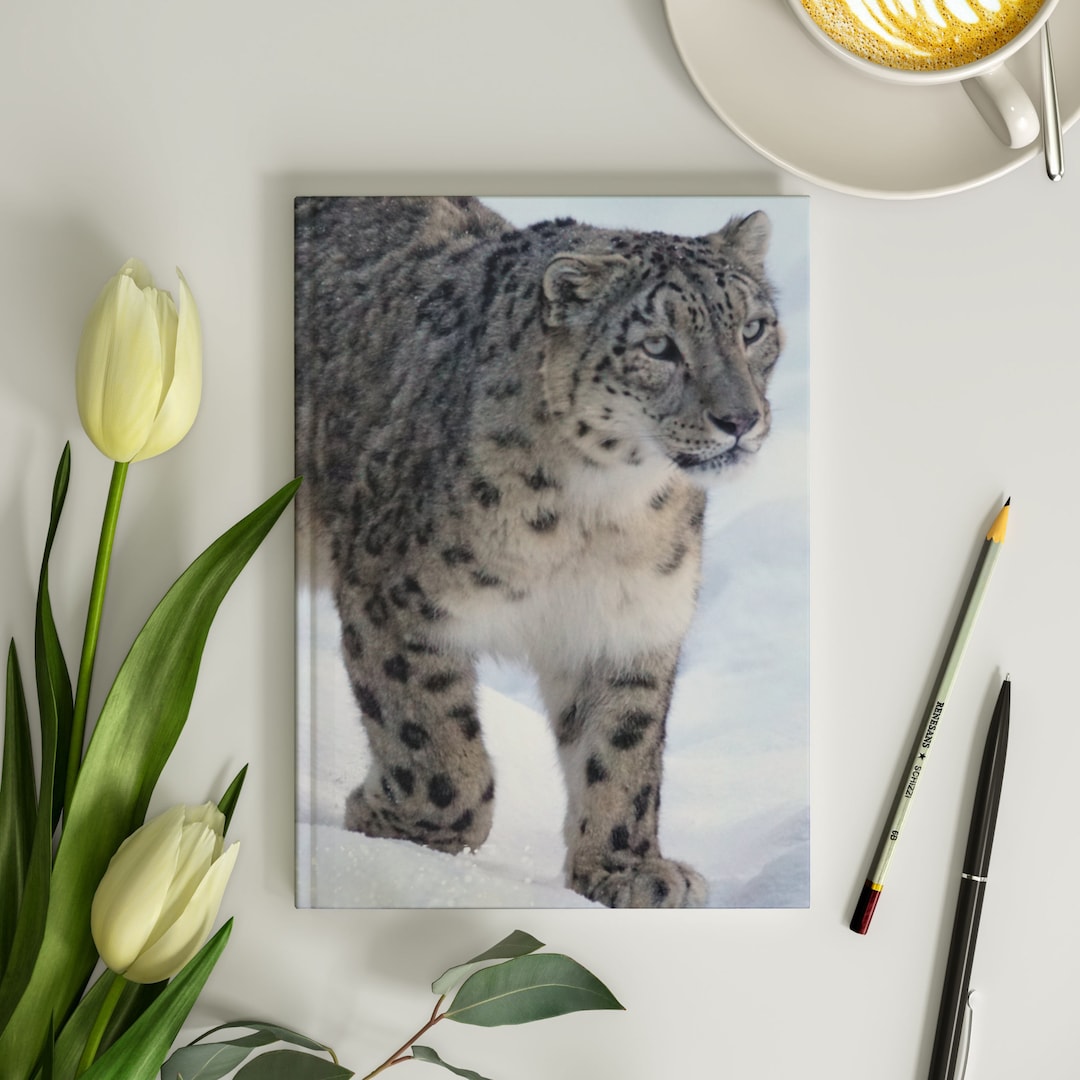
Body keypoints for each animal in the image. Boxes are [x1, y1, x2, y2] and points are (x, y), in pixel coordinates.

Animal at [294, 196, 785, 908]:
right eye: (658, 346)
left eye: (752, 329)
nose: (741, 419)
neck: (600, 514)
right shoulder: (393, 596)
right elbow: (434, 745)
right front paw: (390, 824)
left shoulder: (631, 620)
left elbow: (623, 748)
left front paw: (626, 870)